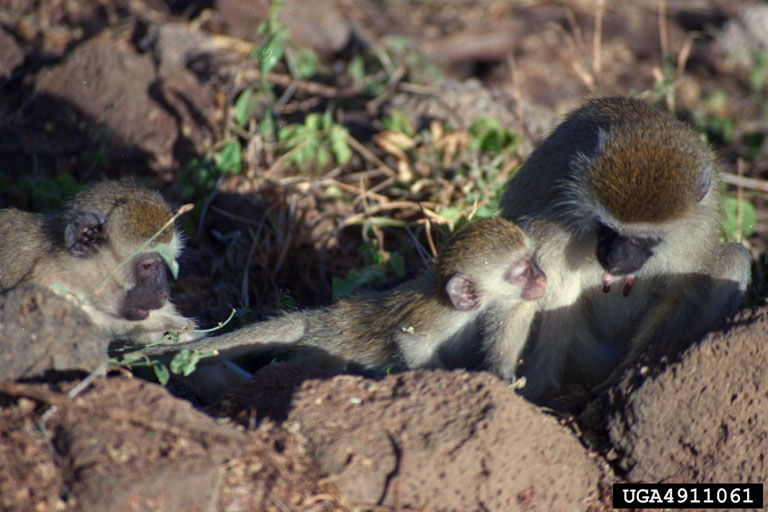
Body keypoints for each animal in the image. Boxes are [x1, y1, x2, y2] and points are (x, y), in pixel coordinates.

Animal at [136, 217, 547, 378]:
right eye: (522, 271)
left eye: (532, 260)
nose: (542, 279)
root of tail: (321, 321)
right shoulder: (441, 315)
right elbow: (411, 342)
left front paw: (502, 375)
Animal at [499, 96, 752, 401]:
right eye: (607, 228)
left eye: (644, 239)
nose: (613, 257)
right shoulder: (558, 213)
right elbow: (533, 280)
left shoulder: (698, 237)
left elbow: (678, 298)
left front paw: (626, 373)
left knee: (736, 257)